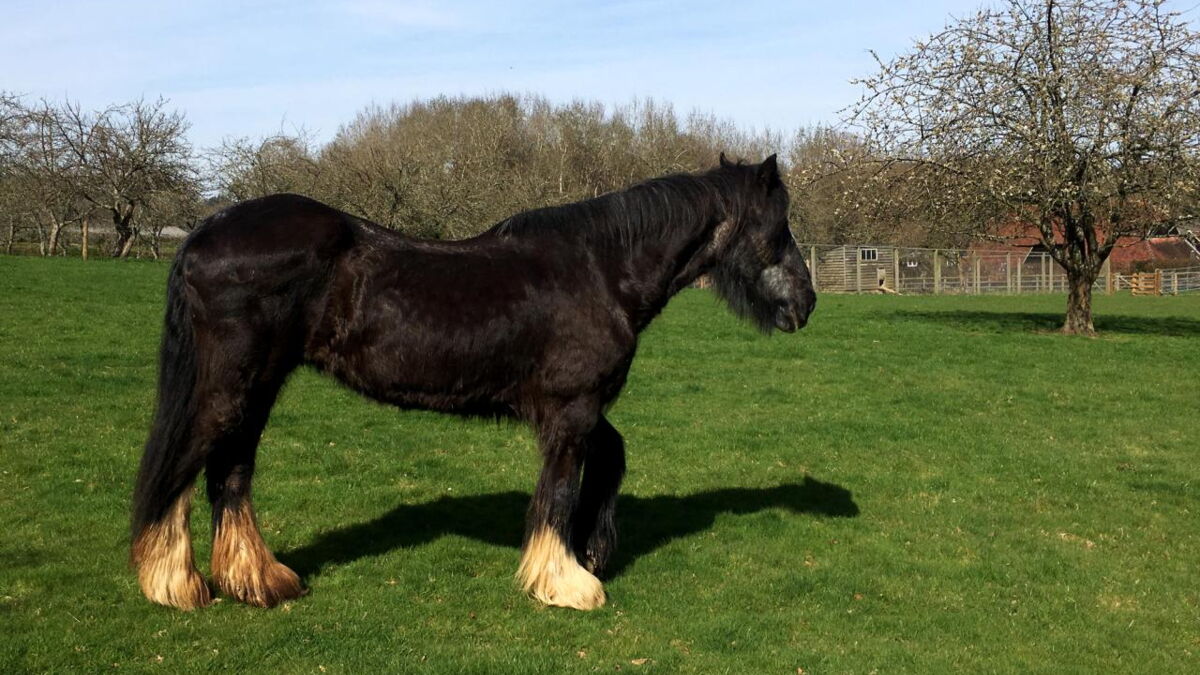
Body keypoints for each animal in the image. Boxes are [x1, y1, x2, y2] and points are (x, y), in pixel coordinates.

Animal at [130, 153, 816, 611]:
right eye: (778, 225)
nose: (806, 303)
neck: (602, 268)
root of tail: (203, 233)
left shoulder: (577, 408)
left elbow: (611, 457)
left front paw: (593, 549)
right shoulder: (571, 408)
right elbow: (559, 490)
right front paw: (565, 581)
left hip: (260, 386)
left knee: (230, 473)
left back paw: (259, 581)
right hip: (231, 387)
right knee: (184, 469)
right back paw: (177, 585)